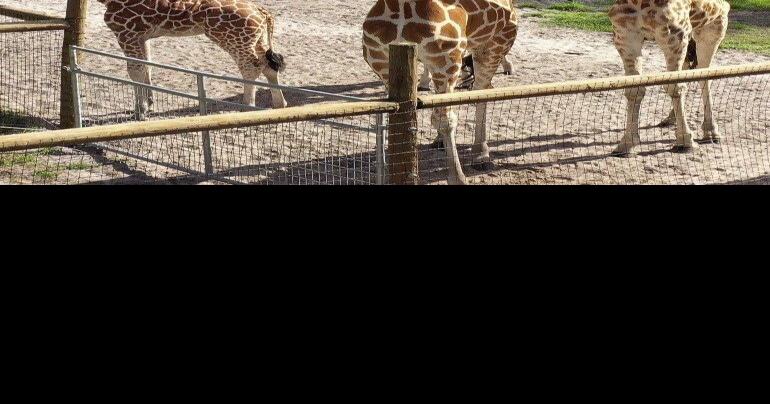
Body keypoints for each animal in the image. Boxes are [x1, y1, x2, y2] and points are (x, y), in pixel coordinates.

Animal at [96, 0, 288, 120]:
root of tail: (263, 13)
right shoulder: (141, 36)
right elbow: (147, 66)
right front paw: (149, 105)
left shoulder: (126, 32)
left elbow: (135, 70)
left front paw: (140, 112)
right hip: (256, 39)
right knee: (268, 65)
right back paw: (279, 104)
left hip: (232, 38)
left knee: (251, 66)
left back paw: (246, 107)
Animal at [609, 0, 730, 156]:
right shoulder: (625, 33)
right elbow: (633, 89)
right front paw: (627, 143)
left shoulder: (678, 32)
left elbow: (679, 84)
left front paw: (685, 141)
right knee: (688, 68)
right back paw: (671, 119)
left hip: (710, 24)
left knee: (702, 73)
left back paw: (710, 132)